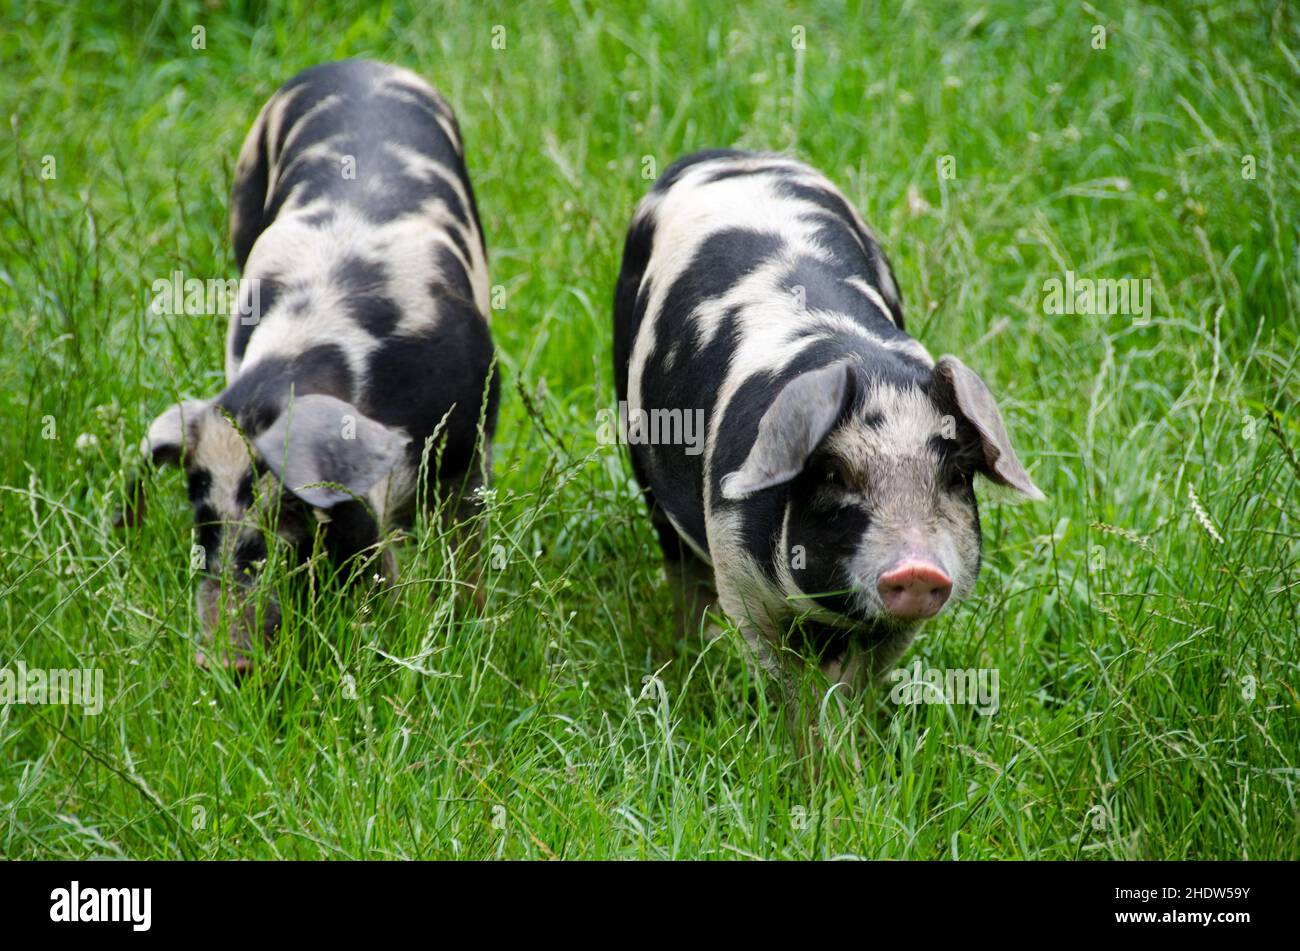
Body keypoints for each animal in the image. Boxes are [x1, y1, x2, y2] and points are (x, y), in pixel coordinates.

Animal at [129, 59, 498, 672]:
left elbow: (465, 544)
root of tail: (361, 63)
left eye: (285, 527)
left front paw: (462, 626)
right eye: (203, 533)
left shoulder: (471, 438)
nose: (224, 663)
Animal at [613, 149, 1043, 703]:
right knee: (677, 560)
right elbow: (790, 684)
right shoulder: (743, 580)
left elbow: (856, 683)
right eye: (835, 475)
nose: (917, 568)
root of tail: (726, 154)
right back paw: (693, 650)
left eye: (954, 476)